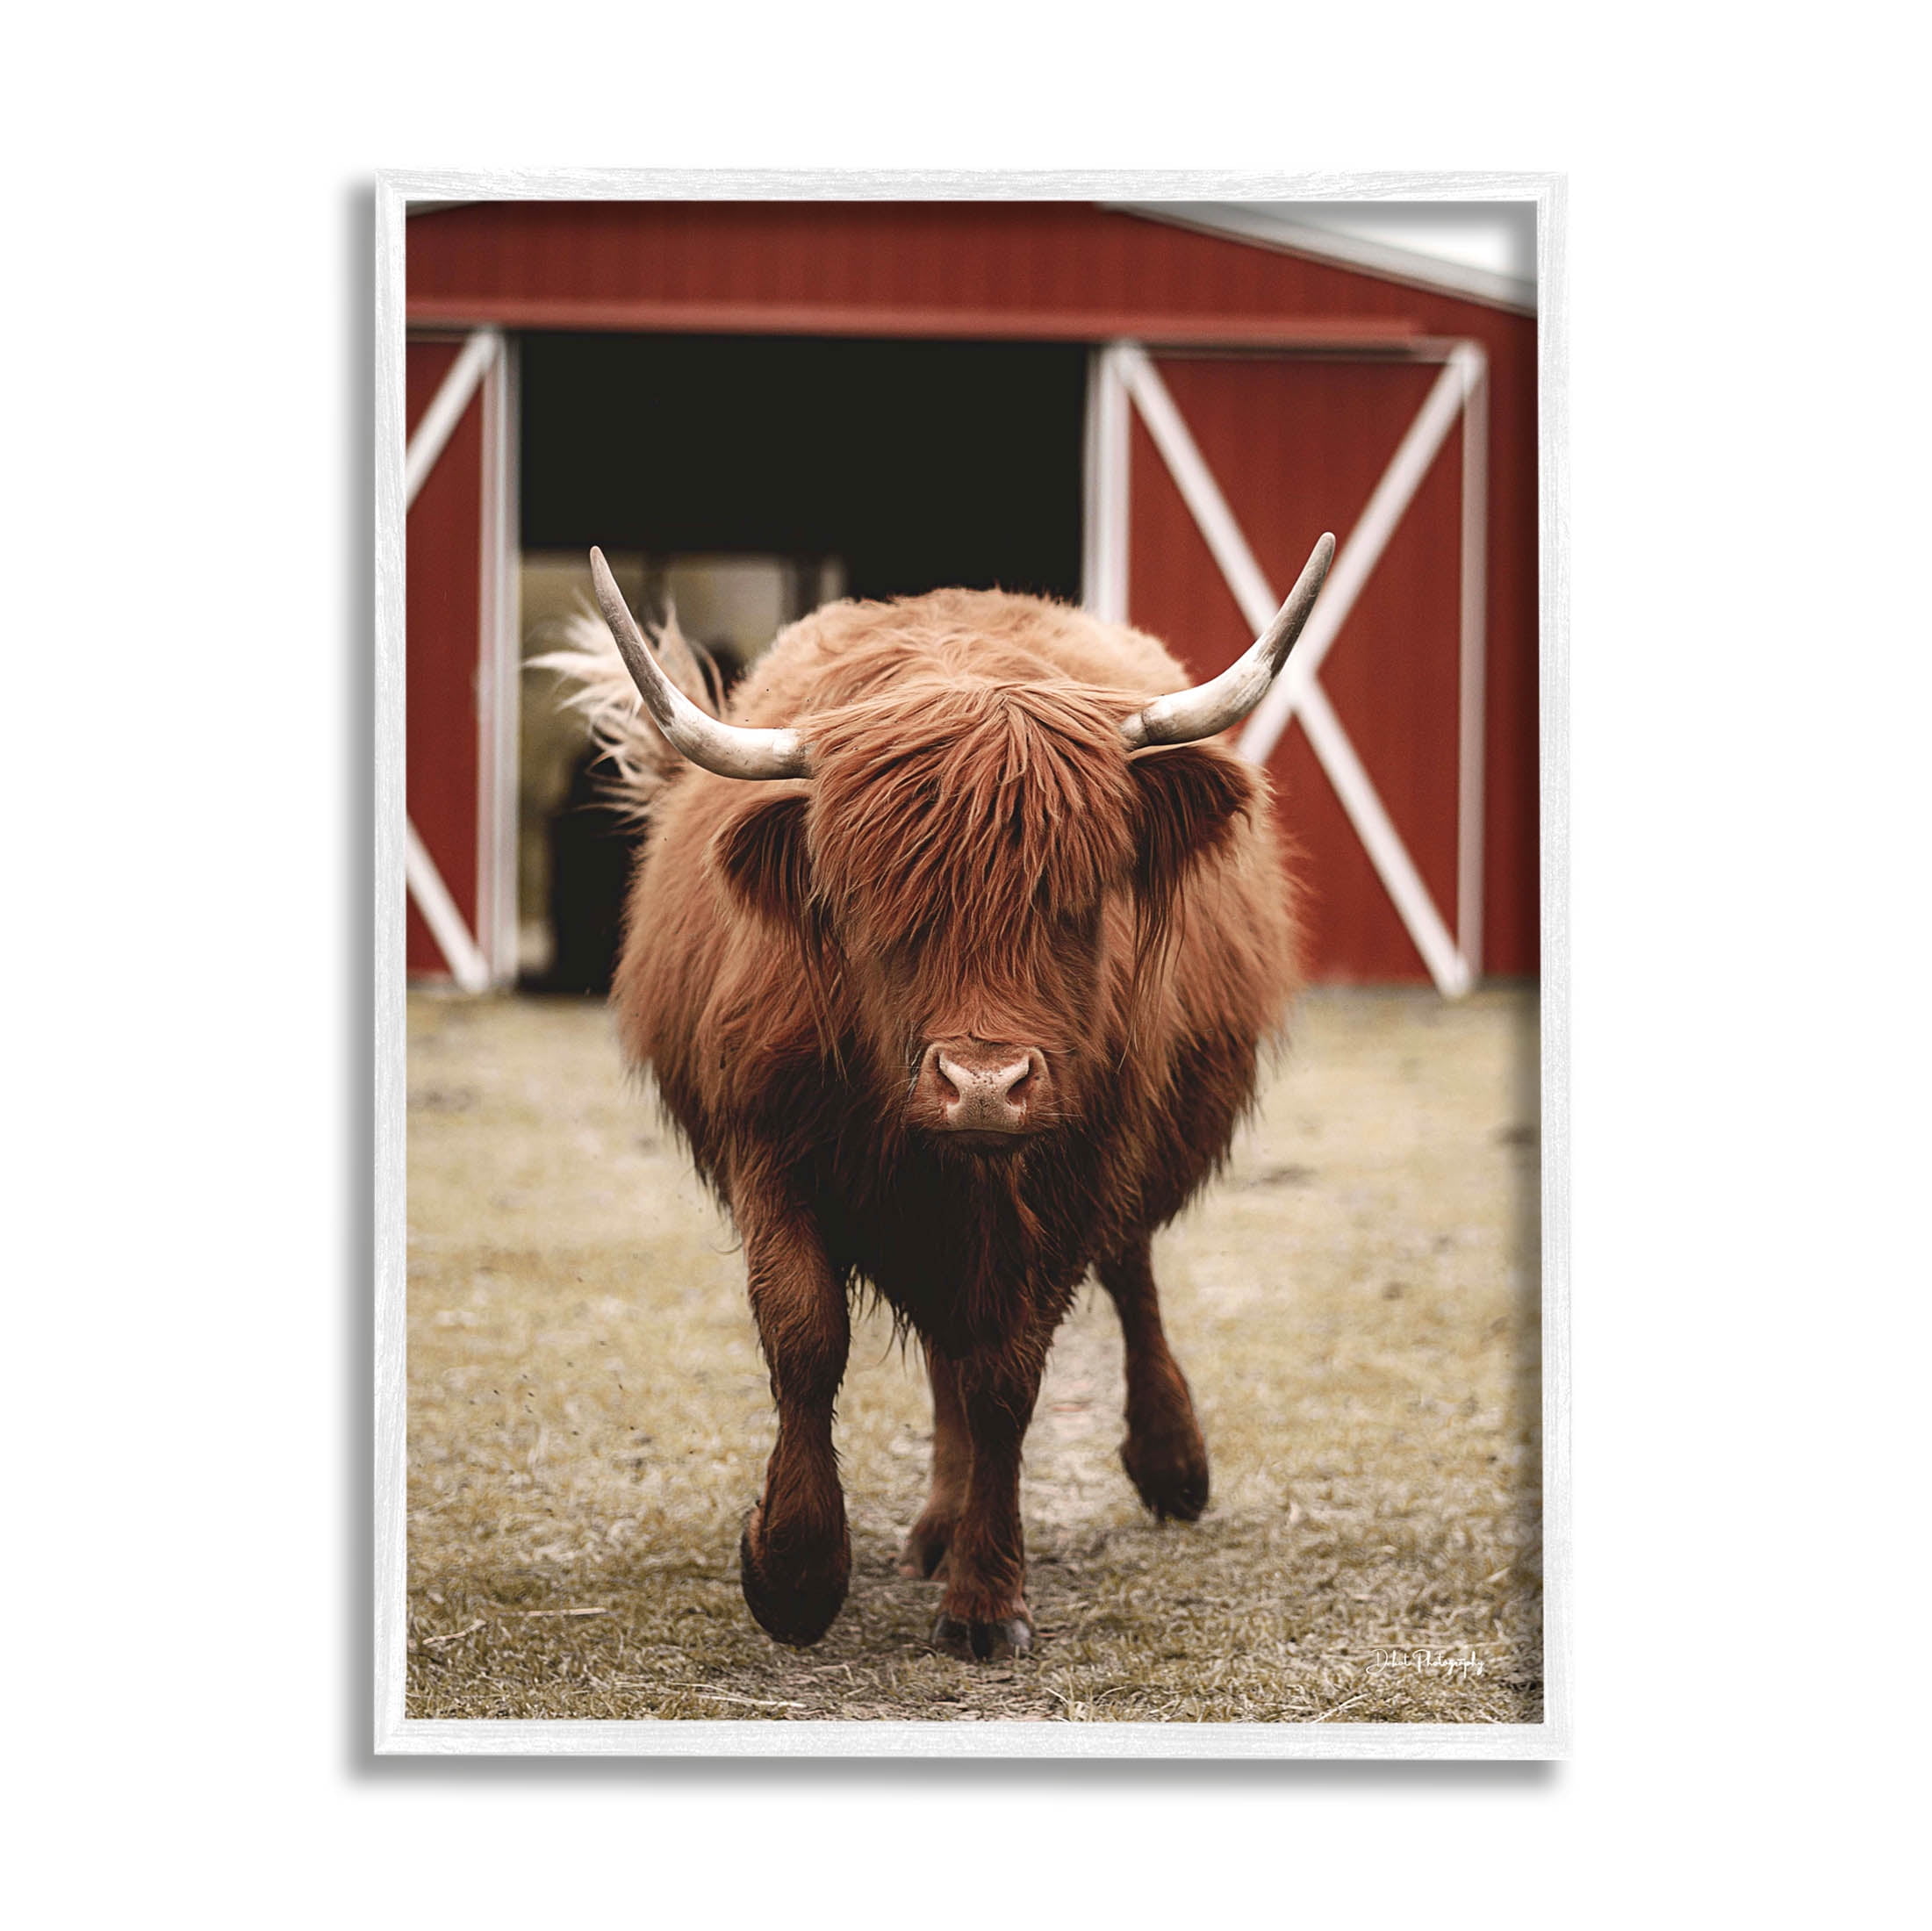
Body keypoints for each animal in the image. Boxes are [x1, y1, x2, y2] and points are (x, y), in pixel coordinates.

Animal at [542, 534, 1333, 1662]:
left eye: (1074, 900)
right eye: (875, 906)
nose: (983, 1086)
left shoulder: (1071, 1168)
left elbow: (1008, 1373)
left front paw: (986, 1599)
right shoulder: (766, 1138)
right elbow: (806, 1332)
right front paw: (792, 1572)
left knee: (1124, 1273)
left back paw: (1166, 1466)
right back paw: (933, 1525)